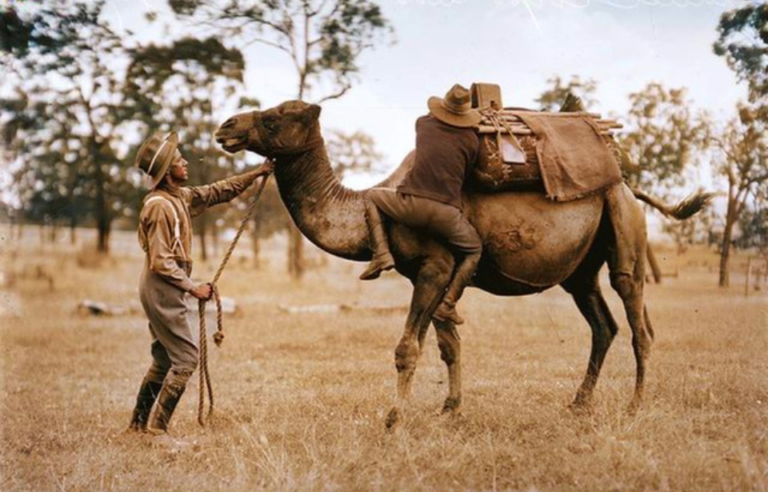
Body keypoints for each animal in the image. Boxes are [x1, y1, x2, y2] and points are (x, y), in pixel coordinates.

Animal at [215, 100, 709, 427]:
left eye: (273, 117)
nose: (225, 127)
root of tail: (626, 184)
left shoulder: (434, 266)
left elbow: (407, 348)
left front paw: (394, 417)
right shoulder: (435, 273)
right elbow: (448, 343)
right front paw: (449, 409)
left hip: (624, 232)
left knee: (636, 316)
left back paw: (634, 406)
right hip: (579, 269)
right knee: (603, 324)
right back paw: (579, 403)